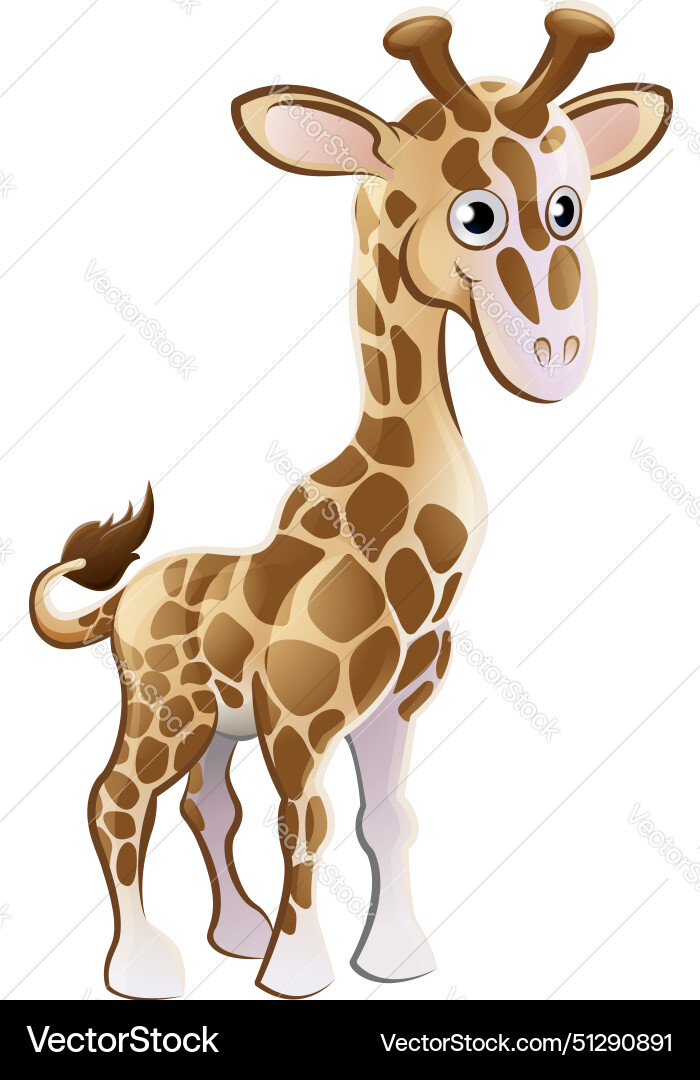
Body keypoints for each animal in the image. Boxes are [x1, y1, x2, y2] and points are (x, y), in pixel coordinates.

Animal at [30, 5, 671, 1000]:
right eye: (476, 212)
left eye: (570, 205)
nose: (555, 356)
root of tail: (117, 605)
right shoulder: (300, 719)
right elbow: (309, 822)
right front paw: (298, 971)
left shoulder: (394, 710)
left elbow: (387, 821)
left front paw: (396, 959)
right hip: (168, 709)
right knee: (117, 799)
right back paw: (143, 967)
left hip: (219, 726)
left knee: (205, 804)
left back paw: (237, 934)